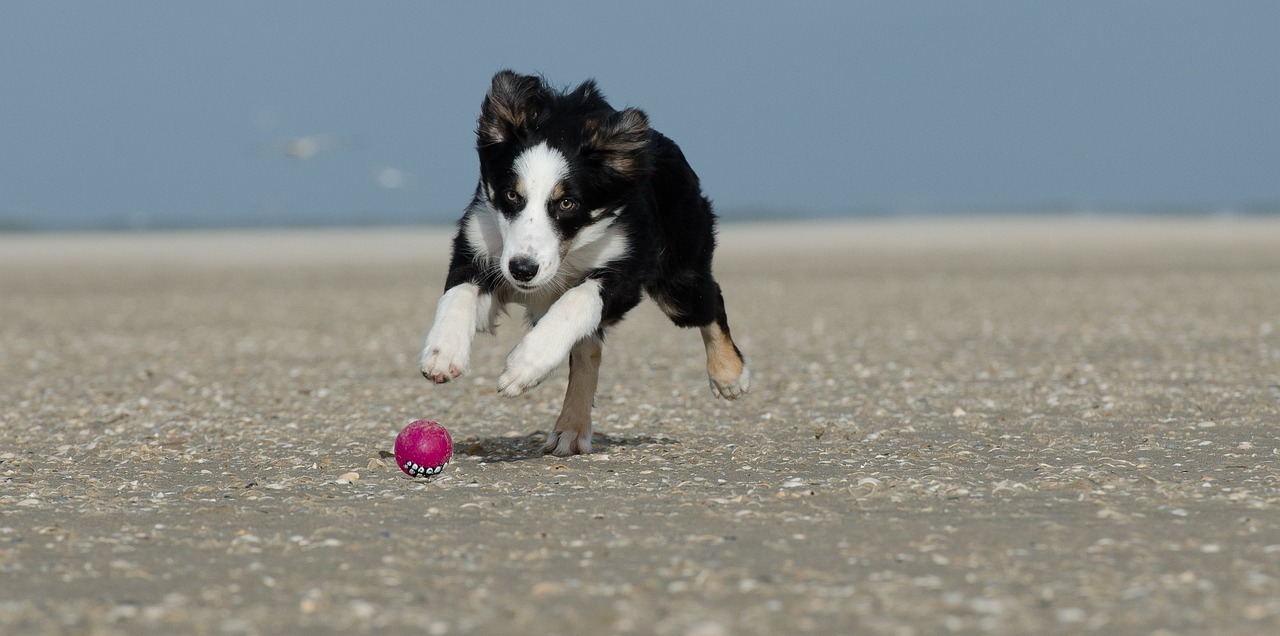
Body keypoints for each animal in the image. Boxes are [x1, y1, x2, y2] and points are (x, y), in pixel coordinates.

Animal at [417, 70, 747, 450]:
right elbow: (458, 293)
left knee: (710, 300)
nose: (523, 270)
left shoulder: (625, 272)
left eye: (567, 203)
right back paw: (571, 429)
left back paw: (729, 375)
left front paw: (524, 366)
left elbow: (576, 300)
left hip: (677, 282)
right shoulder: (481, 247)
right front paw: (443, 353)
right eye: (512, 195)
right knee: (589, 351)